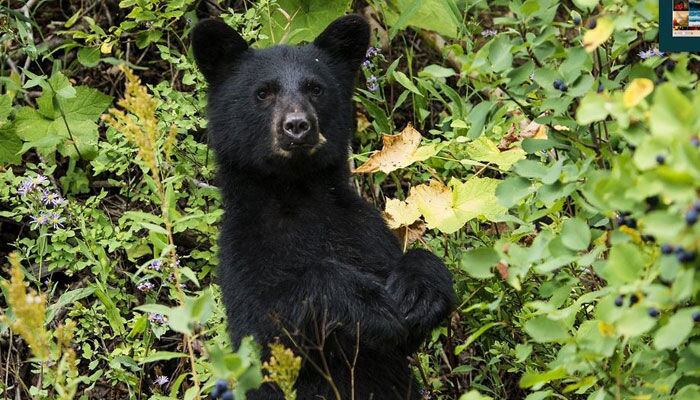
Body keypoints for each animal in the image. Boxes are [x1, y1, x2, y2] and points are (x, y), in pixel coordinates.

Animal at [192, 14, 456, 400]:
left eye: (315, 88)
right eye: (263, 92)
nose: (297, 126)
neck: (297, 195)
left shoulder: (362, 231)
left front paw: (418, 292)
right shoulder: (243, 251)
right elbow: (266, 323)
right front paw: (366, 303)